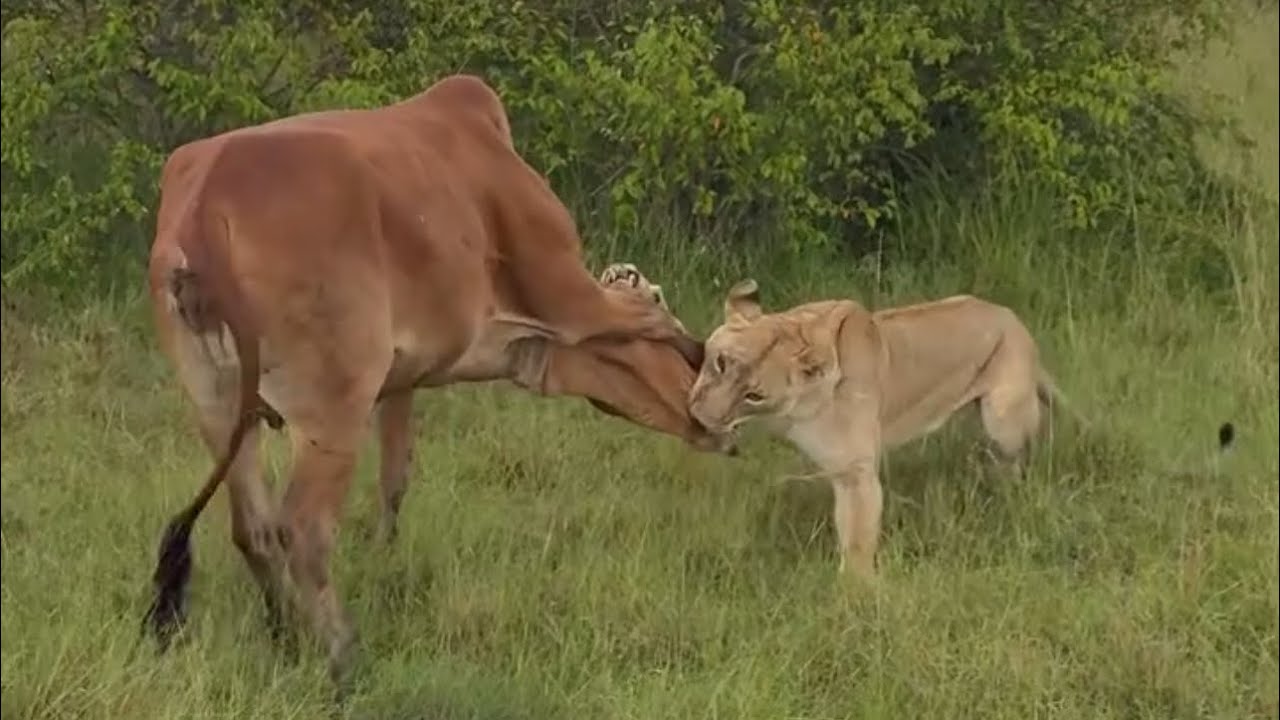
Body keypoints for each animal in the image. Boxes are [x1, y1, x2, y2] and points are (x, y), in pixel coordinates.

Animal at [142, 74, 731, 689]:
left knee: (252, 528)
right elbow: (644, 312)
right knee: (302, 529)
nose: (713, 422)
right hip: (331, 412)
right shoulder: (564, 285)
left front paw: (386, 560)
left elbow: (395, 477)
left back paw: (287, 638)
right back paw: (342, 654)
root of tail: (208, 203)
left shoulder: (400, 379)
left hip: (219, 409)